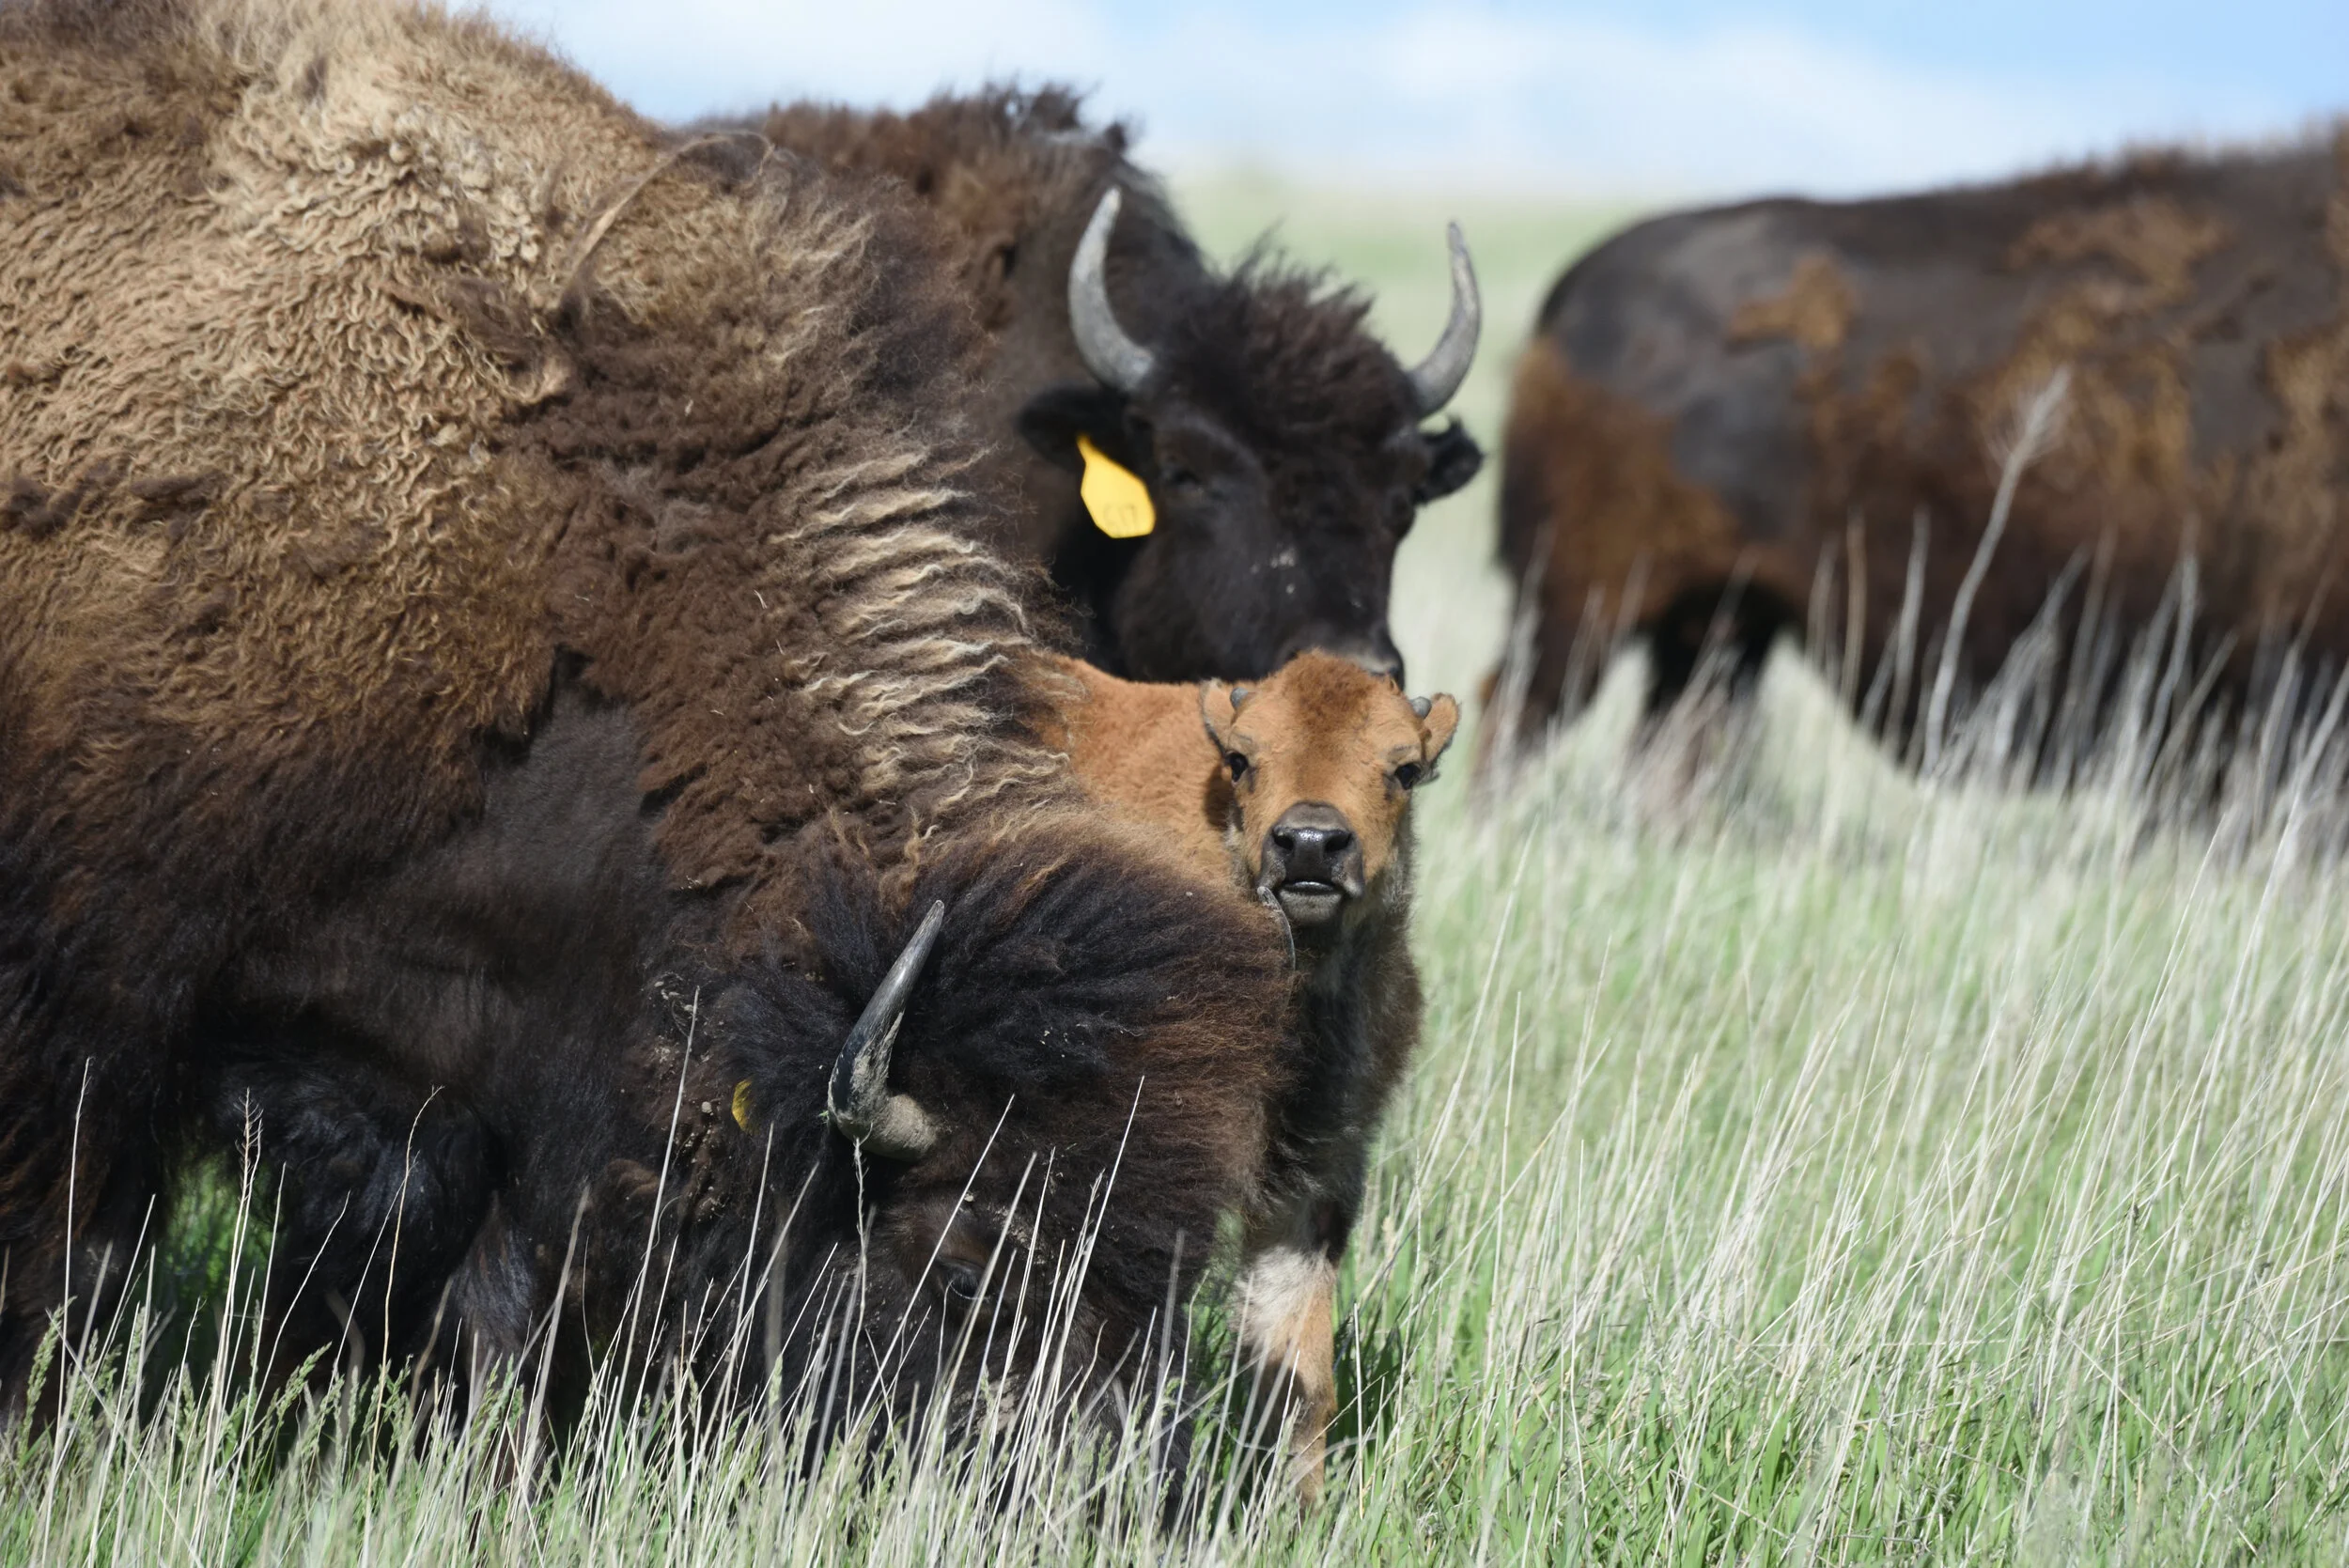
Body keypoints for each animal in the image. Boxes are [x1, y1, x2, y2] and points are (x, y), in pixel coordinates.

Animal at [0, 0, 1291, 1449]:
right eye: (967, 1264)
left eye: (1167, 1274)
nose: (1115, 1472)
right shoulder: (91, 994)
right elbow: (71, 1241)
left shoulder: (462, 1066)